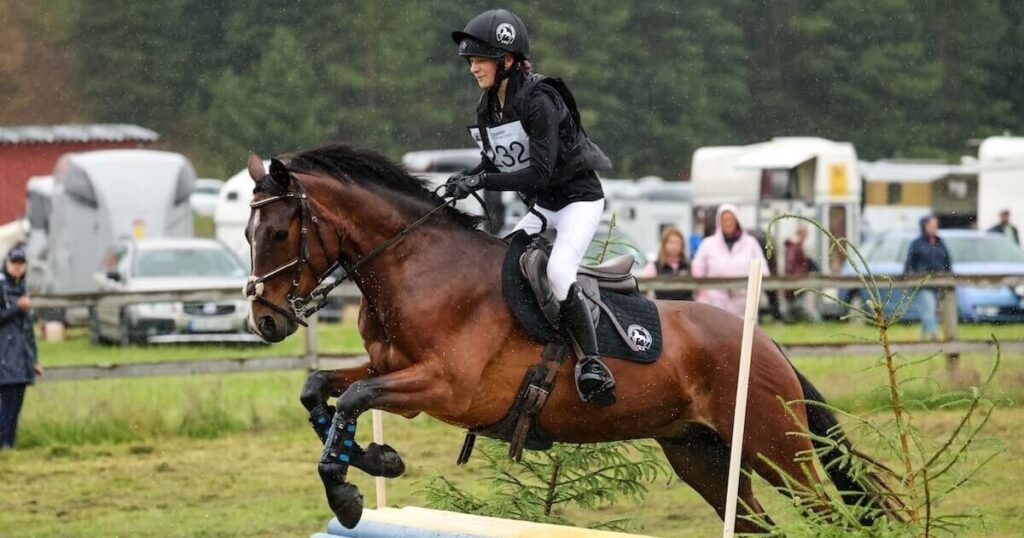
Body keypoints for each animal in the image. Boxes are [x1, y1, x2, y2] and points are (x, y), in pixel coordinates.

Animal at [243, 144, 892, 533]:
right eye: (248, 233)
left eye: (275, 232)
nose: (265, 321)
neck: (417, 266)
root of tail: (767, 342)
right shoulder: (390, 369)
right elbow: (320, 389)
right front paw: (373, 459)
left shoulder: (444, 387)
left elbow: (351, 399)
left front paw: (348, 492)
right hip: (699, 454)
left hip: (775, 448)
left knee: (830, 514)